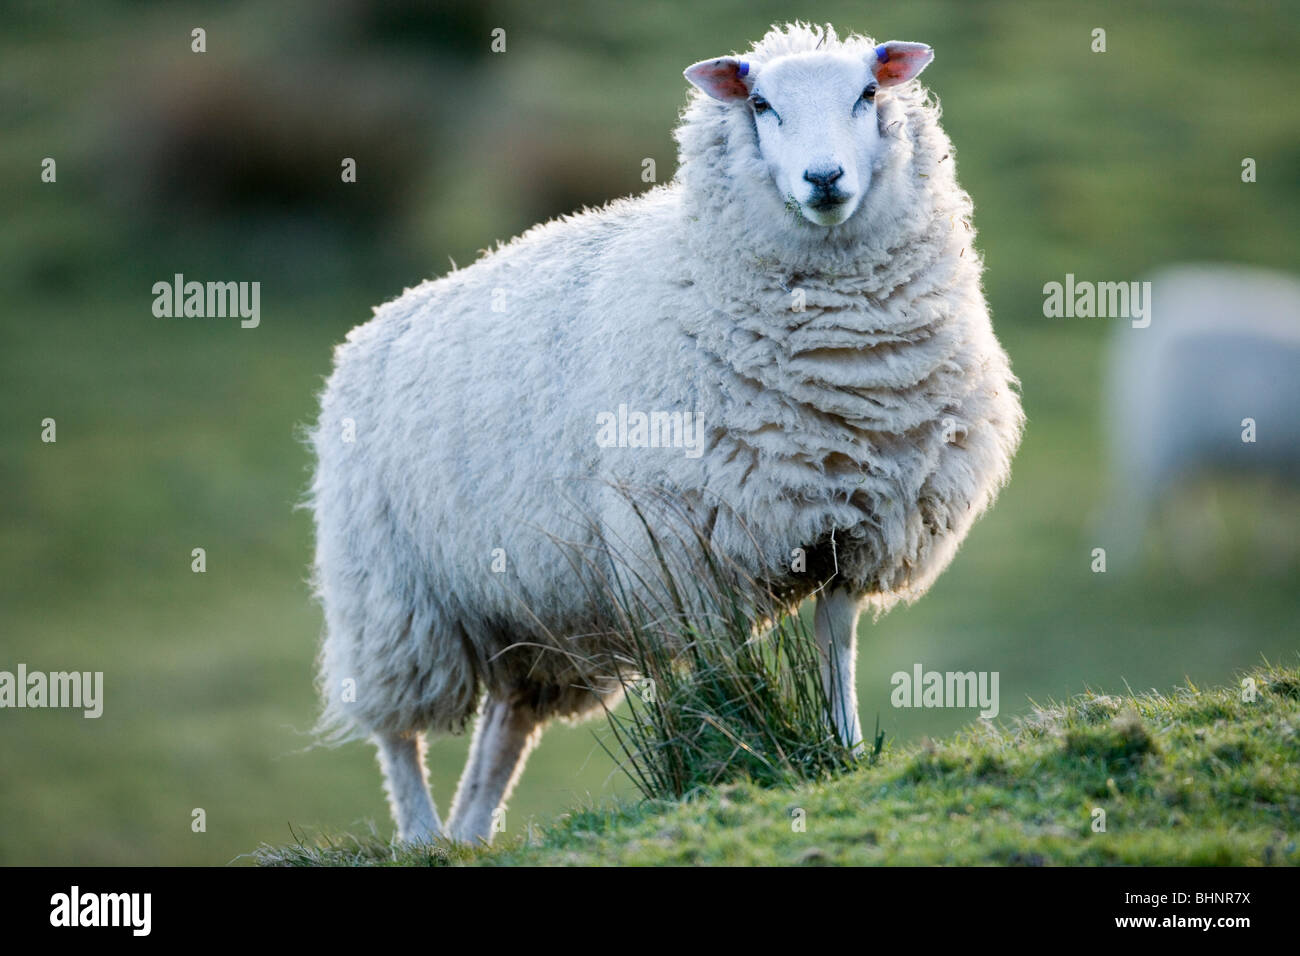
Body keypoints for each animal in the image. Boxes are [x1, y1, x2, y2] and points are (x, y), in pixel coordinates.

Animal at [308, 21, 1024, 845]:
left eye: (868, 93)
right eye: (761, 103)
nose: (824, 179)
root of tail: (369, 329)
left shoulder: (848, 528)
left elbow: (834, 649)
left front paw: (841, 750)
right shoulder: (688, 548)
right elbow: (726, 678)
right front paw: (736, 747)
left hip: (535, 611)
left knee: (505, 725)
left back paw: (470, 835)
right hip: (392, 595)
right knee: (397, 729)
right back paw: (425, 835)